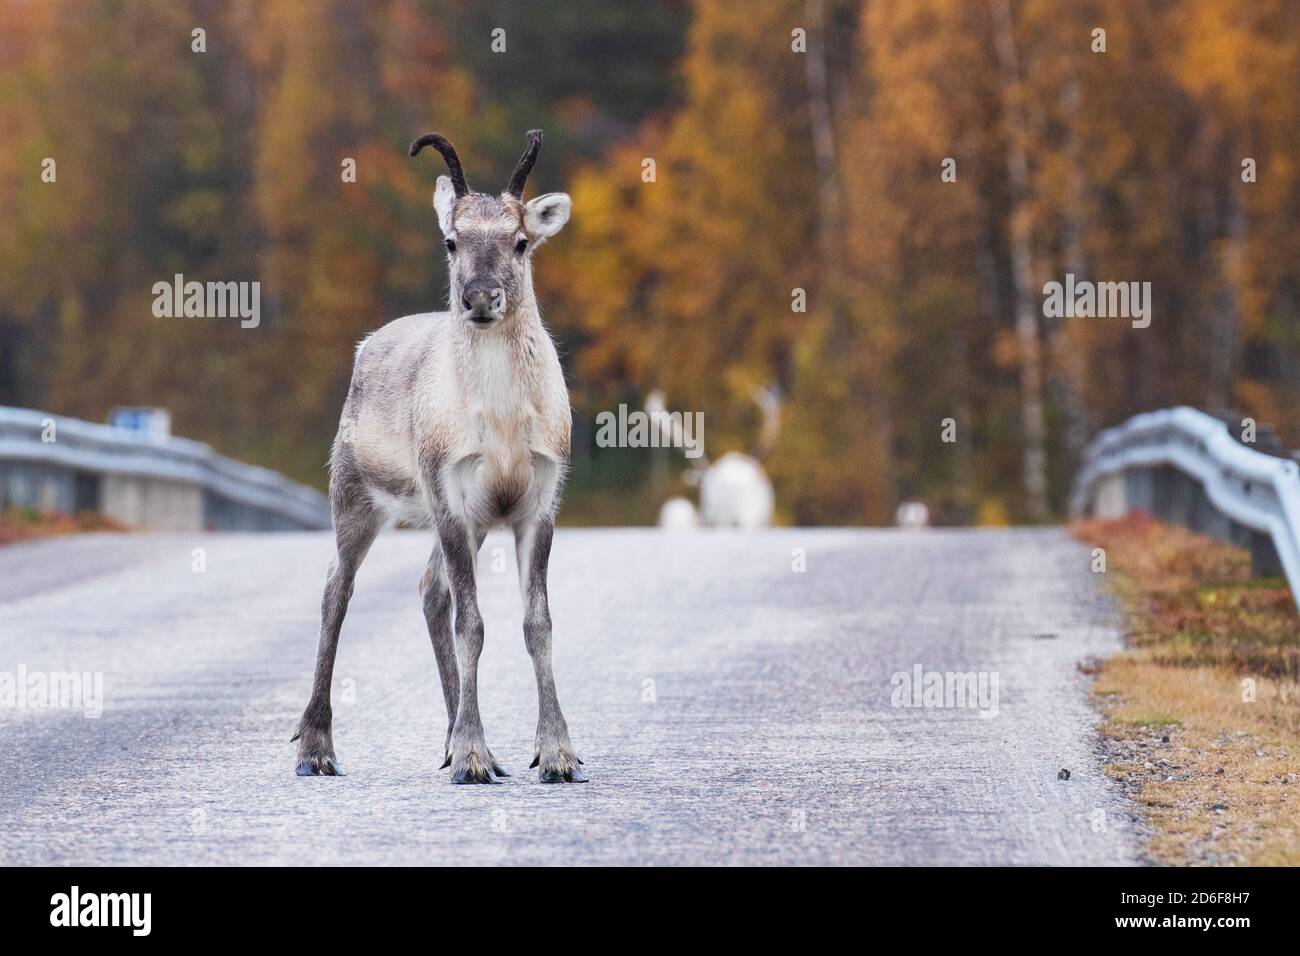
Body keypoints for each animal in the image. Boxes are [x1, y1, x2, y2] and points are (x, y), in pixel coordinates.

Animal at [292, 129, 586, 784]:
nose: (479, 297)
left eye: (521, 241)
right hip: (356, 496)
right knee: (336, 588)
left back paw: (455, 741)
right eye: (452, 240)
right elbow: (472, 624)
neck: (503, 425)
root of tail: (366, 346)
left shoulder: (538, 502)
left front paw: (556, 754)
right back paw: (315, 748)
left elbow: (538, 623)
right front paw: (474, 755)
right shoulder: (451, 494)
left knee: (429, 589)